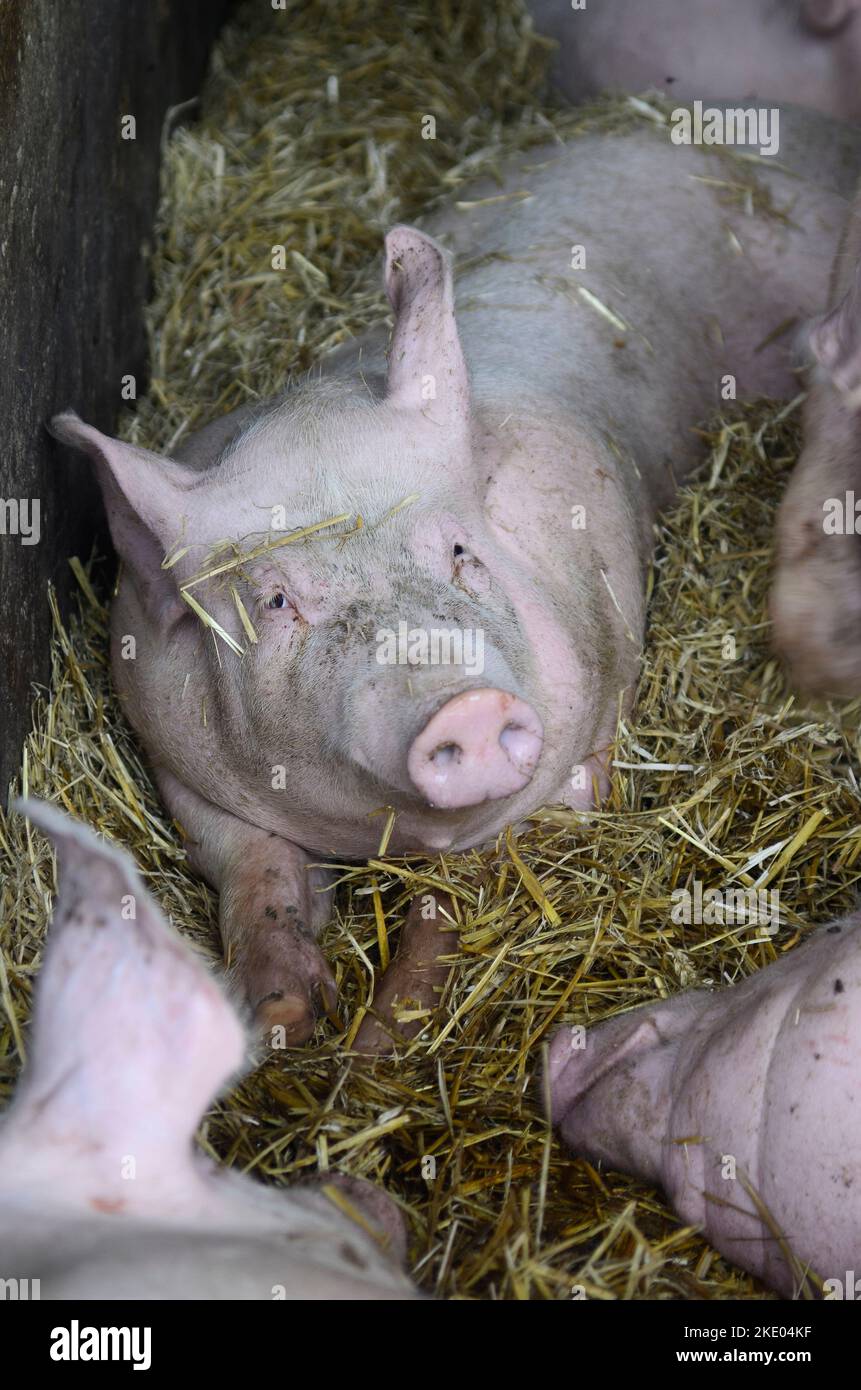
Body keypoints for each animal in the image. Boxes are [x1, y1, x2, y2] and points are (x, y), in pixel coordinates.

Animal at [50, 107, 861, 1044]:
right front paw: (282, 1018)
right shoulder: (173, 753)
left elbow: (455, 912)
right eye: (277, 599)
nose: (462, 705)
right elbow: (253, 869)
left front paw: (375, 1046)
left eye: (459, 553)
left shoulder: (578, 747)